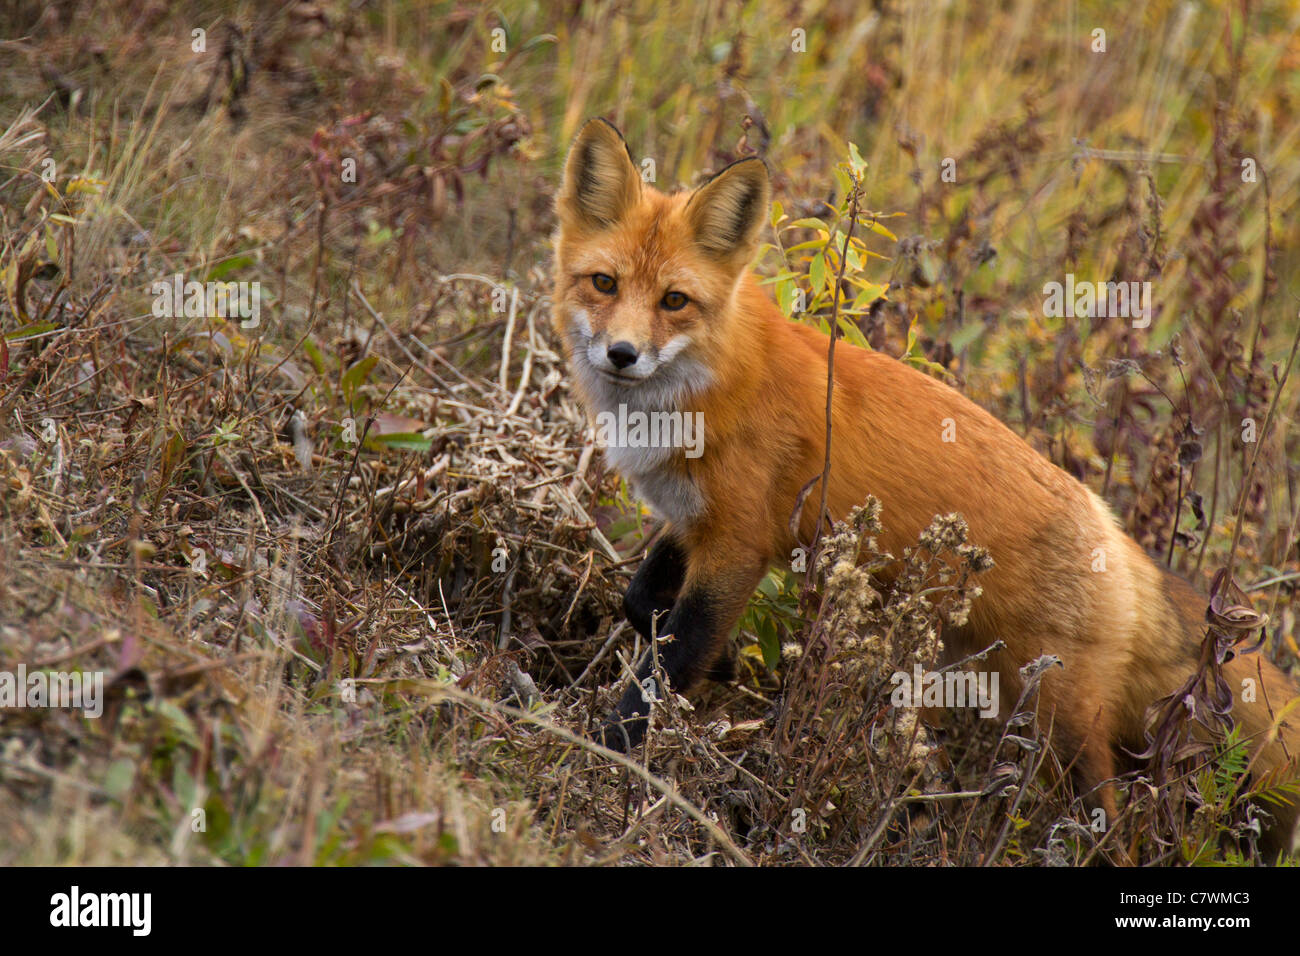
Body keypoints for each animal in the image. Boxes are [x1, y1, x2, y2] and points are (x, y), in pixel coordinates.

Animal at [551, 117, 1299, 857]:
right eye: (604, 283)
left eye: (674, 301)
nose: (622, 355)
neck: (709, 382)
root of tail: (1112, 528)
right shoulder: (693, 520)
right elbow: (639, 600)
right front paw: (727, 664)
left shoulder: (738, 543)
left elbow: (663, 671)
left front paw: (609, 755)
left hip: (1062, 724)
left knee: (1107, 816)